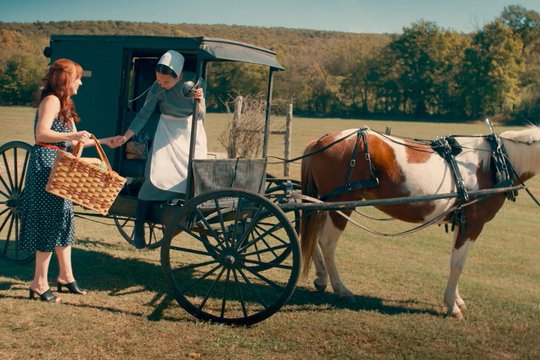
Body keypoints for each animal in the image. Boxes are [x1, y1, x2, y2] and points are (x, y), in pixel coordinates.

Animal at [300, 126, 540, 318]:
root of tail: (320, 141)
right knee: (327, 243)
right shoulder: (474, 222)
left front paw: (457, 299)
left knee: (313, 236)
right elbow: (458, 263)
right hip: (341, 204)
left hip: (326, 203)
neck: (496, 161)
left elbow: (454, 259)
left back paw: (321, 277)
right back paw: (342, 289)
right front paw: (451, 306)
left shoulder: (461, 220)